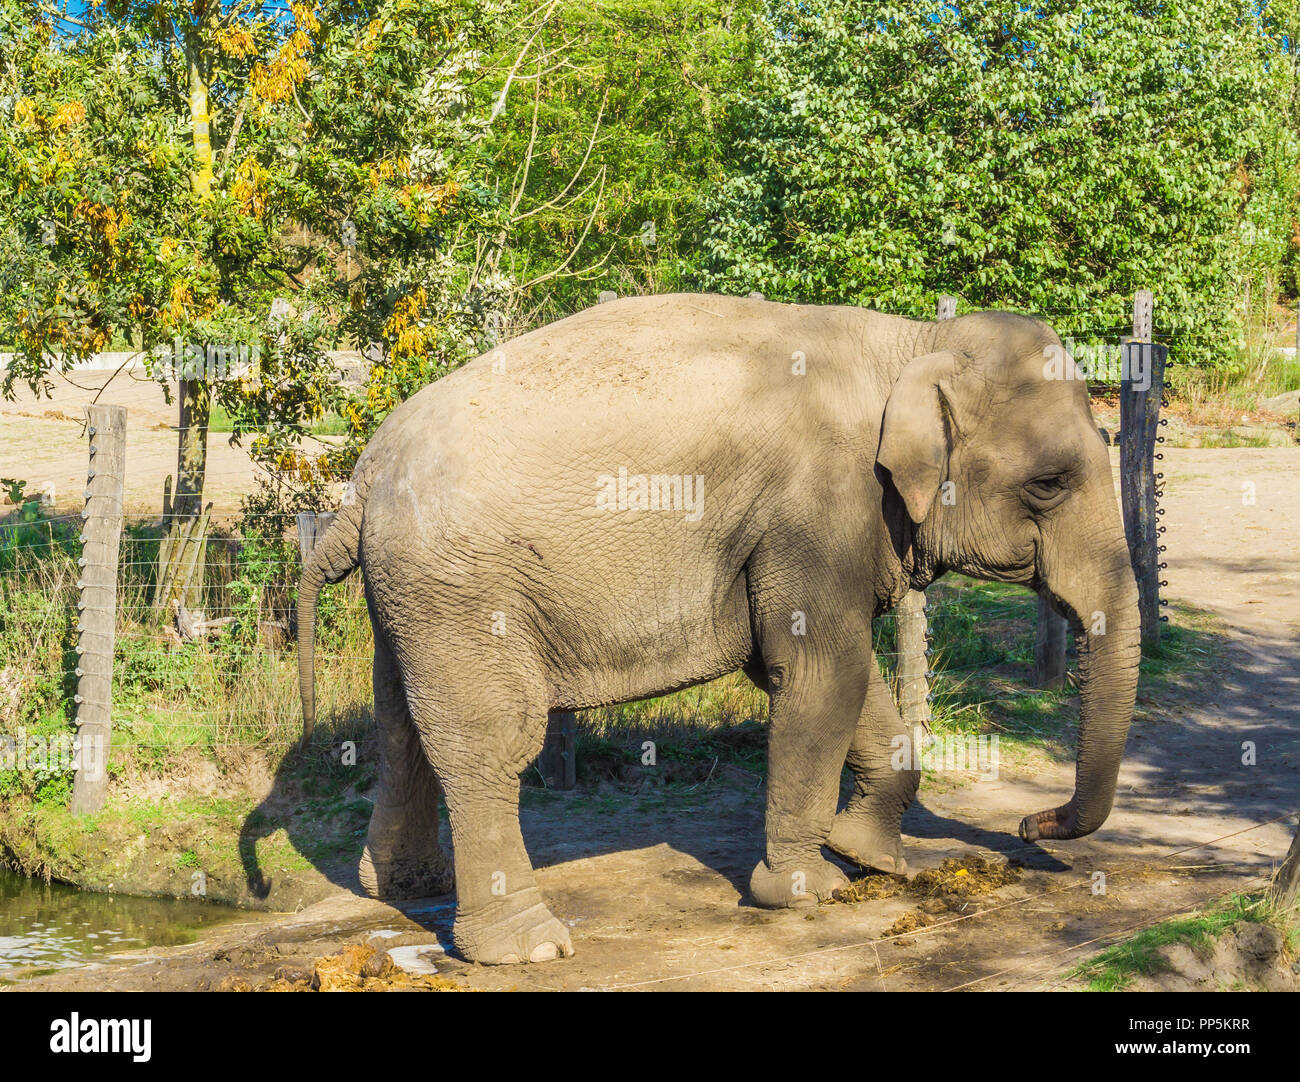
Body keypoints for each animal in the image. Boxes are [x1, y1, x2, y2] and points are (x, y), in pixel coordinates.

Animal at [297, 293, 1140, 965]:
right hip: (463, 586)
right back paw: (529, 948)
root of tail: (364, 478)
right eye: (1050, 483)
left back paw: (402, 887)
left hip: (412, 594)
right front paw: (809, 890)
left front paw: (874, 859)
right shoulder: (816, 509)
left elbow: (834, 672)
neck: (910, 344)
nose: (1029, 826)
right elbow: (818, 672)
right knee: (489, 740)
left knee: (400, 722)